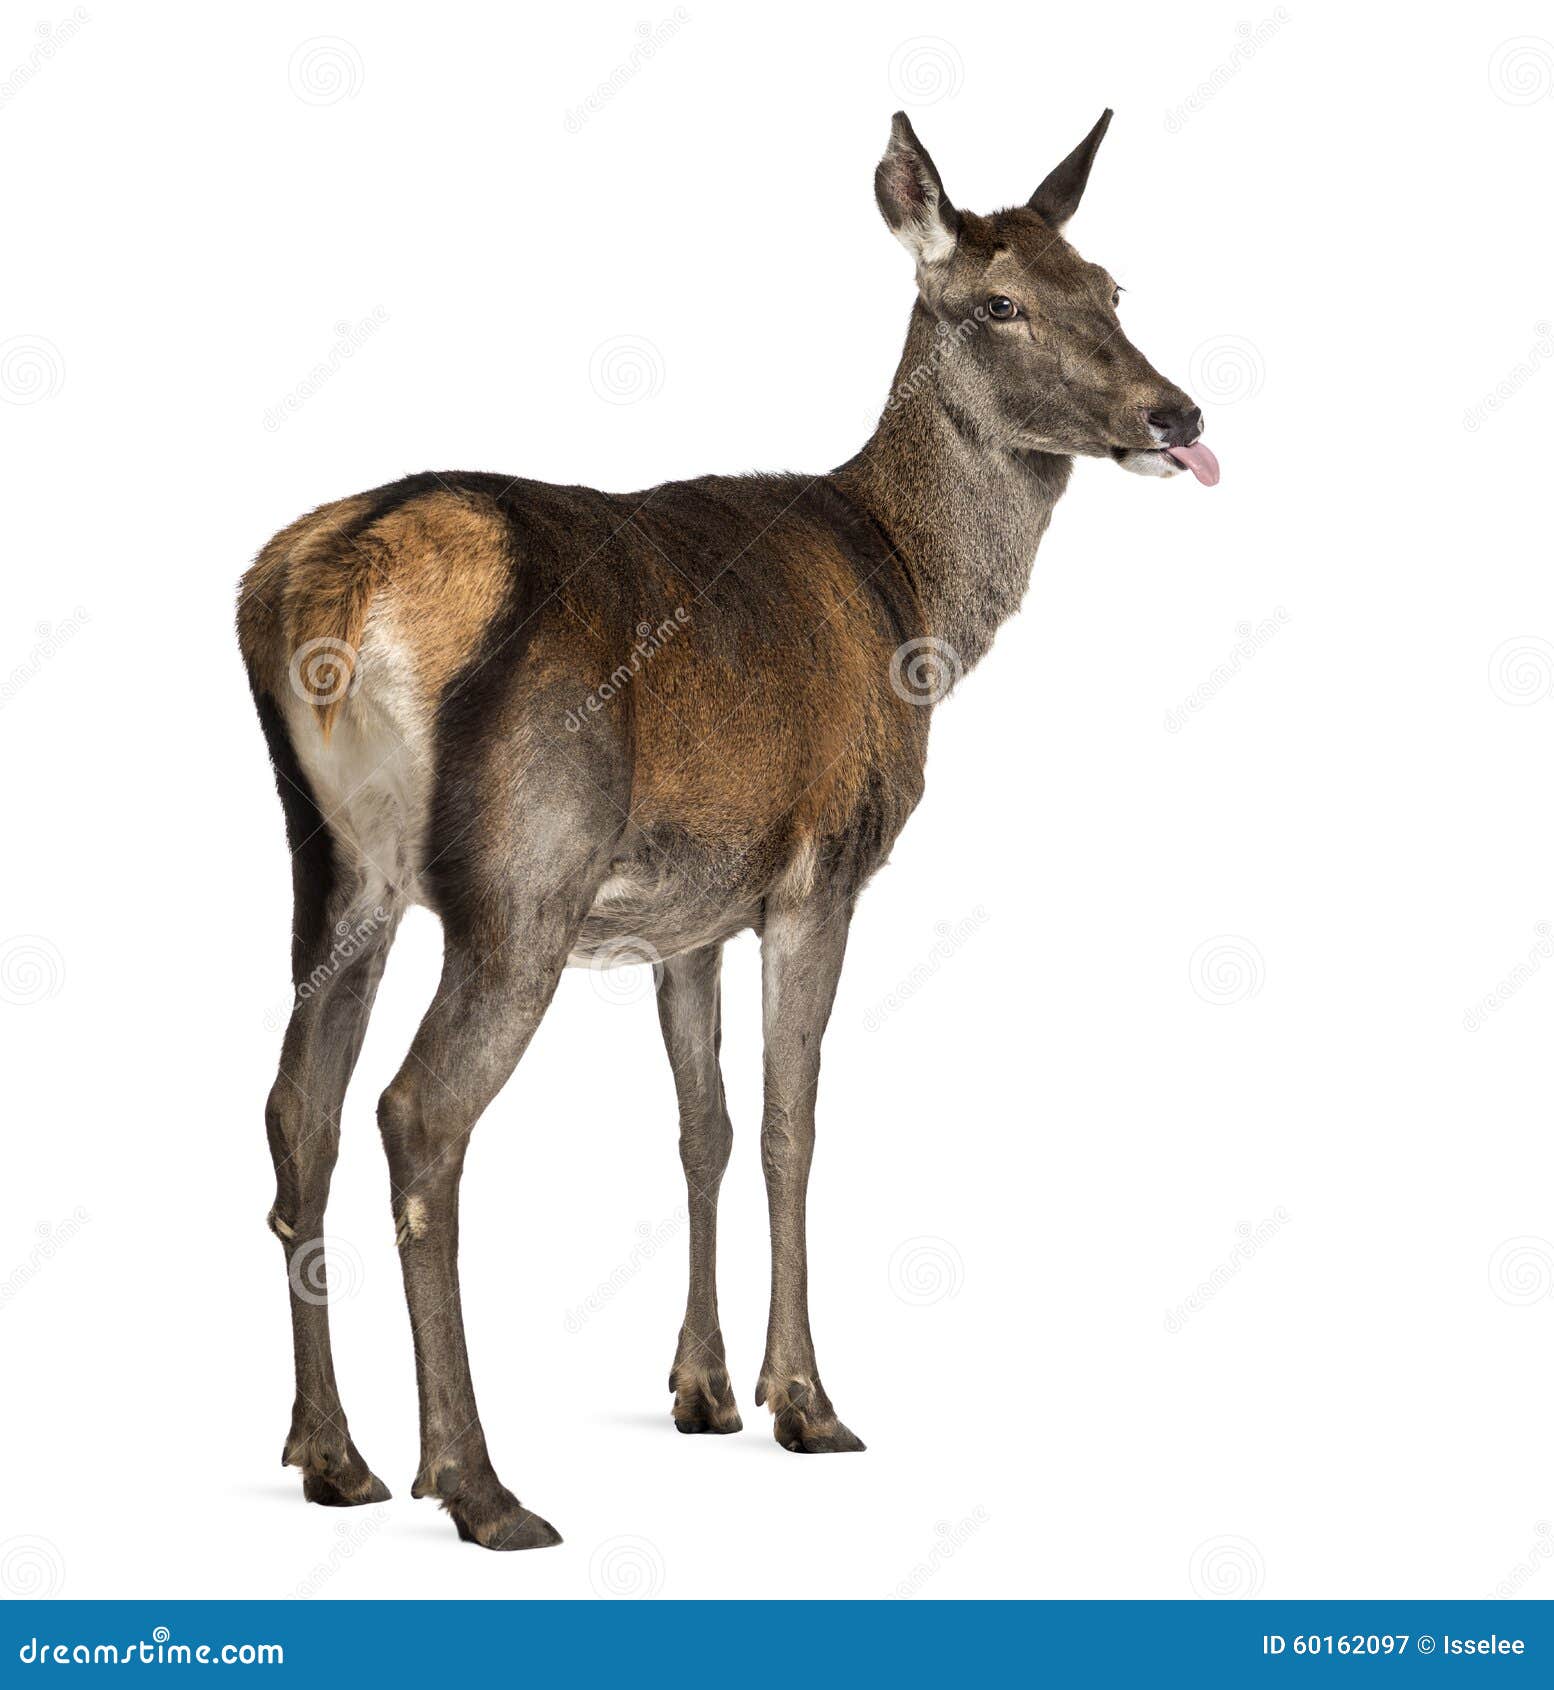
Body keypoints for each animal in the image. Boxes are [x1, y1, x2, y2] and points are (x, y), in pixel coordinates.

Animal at [236, 108, 1218, 1552]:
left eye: (1109, 285)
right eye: (998, 303)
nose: (1175, 412)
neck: (914, 603)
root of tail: (330, 589)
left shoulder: (684, 910)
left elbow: (699, 1122)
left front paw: (700, 1386)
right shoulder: (820, 867)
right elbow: (787, 1120)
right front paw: (804, 1400)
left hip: (332, 860)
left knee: (297, 1105)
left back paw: (332, 1455)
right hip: (522, 871)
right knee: (415, 1112)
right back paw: (476, 1484)